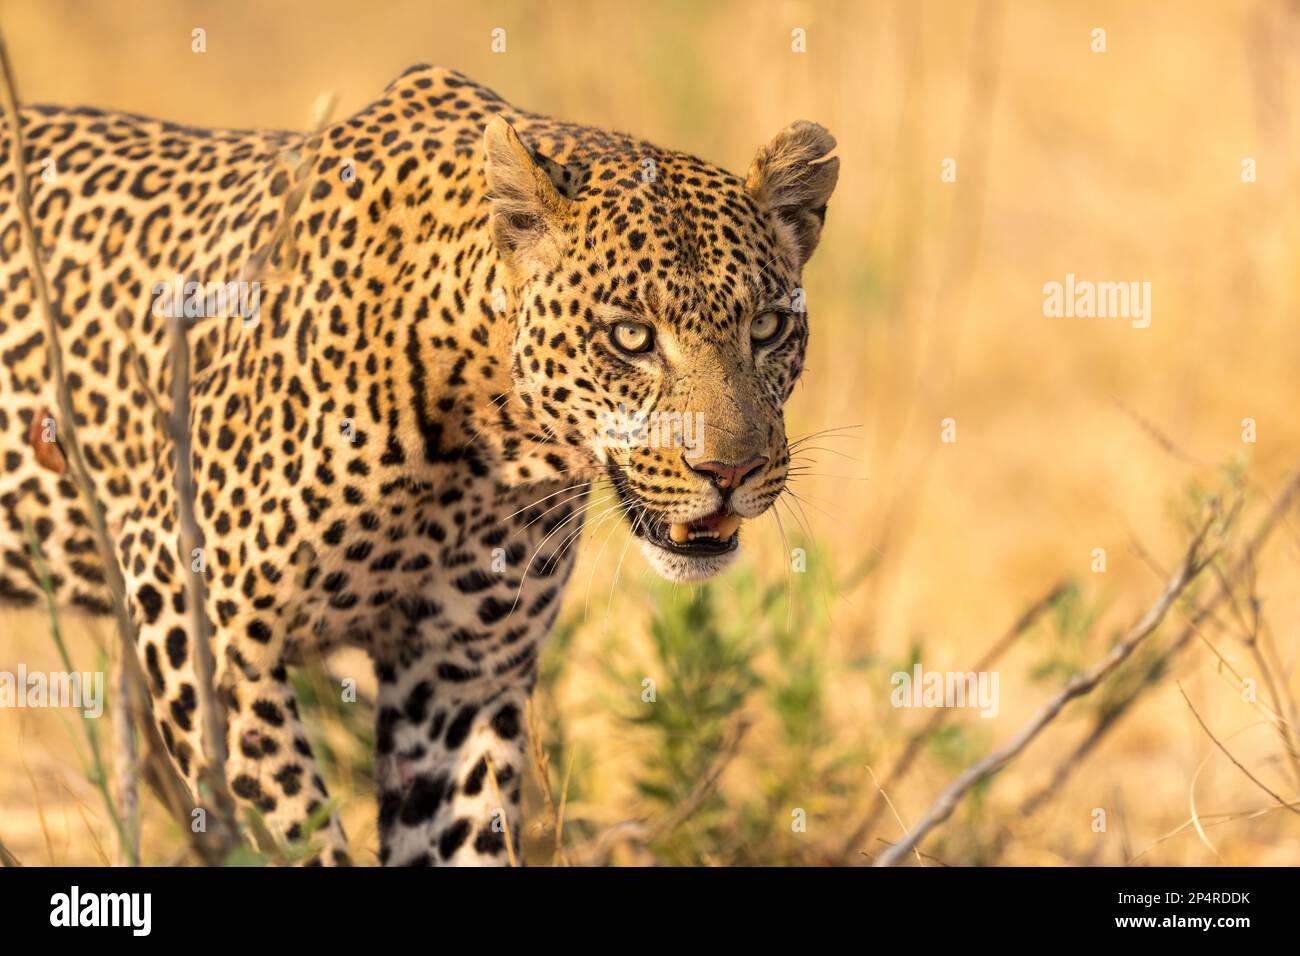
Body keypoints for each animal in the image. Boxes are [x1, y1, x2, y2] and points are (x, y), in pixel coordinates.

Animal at [0, 64, 838, 865]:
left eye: (768, 327)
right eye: (629, 336)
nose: (731, 471)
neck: (487, 444)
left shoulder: (460, 680)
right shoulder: (195, 606)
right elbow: (295, 835)